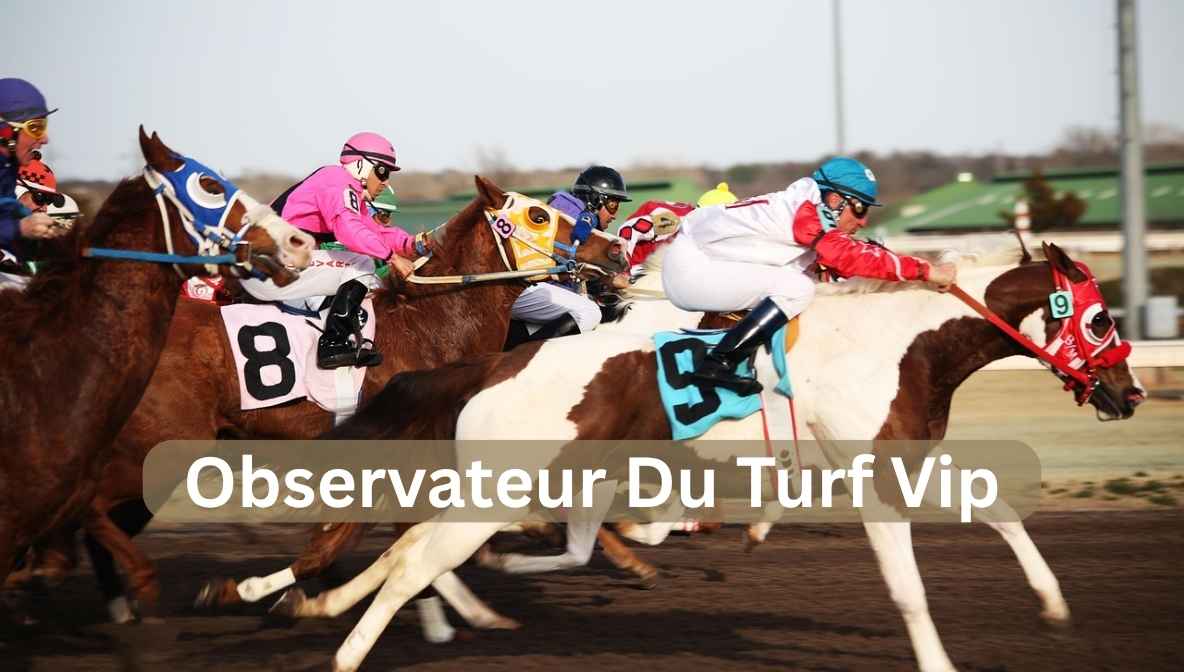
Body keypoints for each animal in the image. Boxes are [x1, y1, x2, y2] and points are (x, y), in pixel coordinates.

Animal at [59, 176, 627, 621]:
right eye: (539, 214)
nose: (616, 250)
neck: (431, 325)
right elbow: (349, 543)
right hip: (167, 444)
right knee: (86, 502)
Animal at [271, 242, 1145, 672]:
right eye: (1101, 319)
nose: (1129, 393)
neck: (902, 346)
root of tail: (491, 367)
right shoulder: (874, 483)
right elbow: (908, 591)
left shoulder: (906, 463)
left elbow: (998, 510)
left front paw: (1053, 604)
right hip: (501, 486)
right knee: (417, 560)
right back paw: (346, 650)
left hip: (502, 485)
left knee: (415, 547)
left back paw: (324, 603)